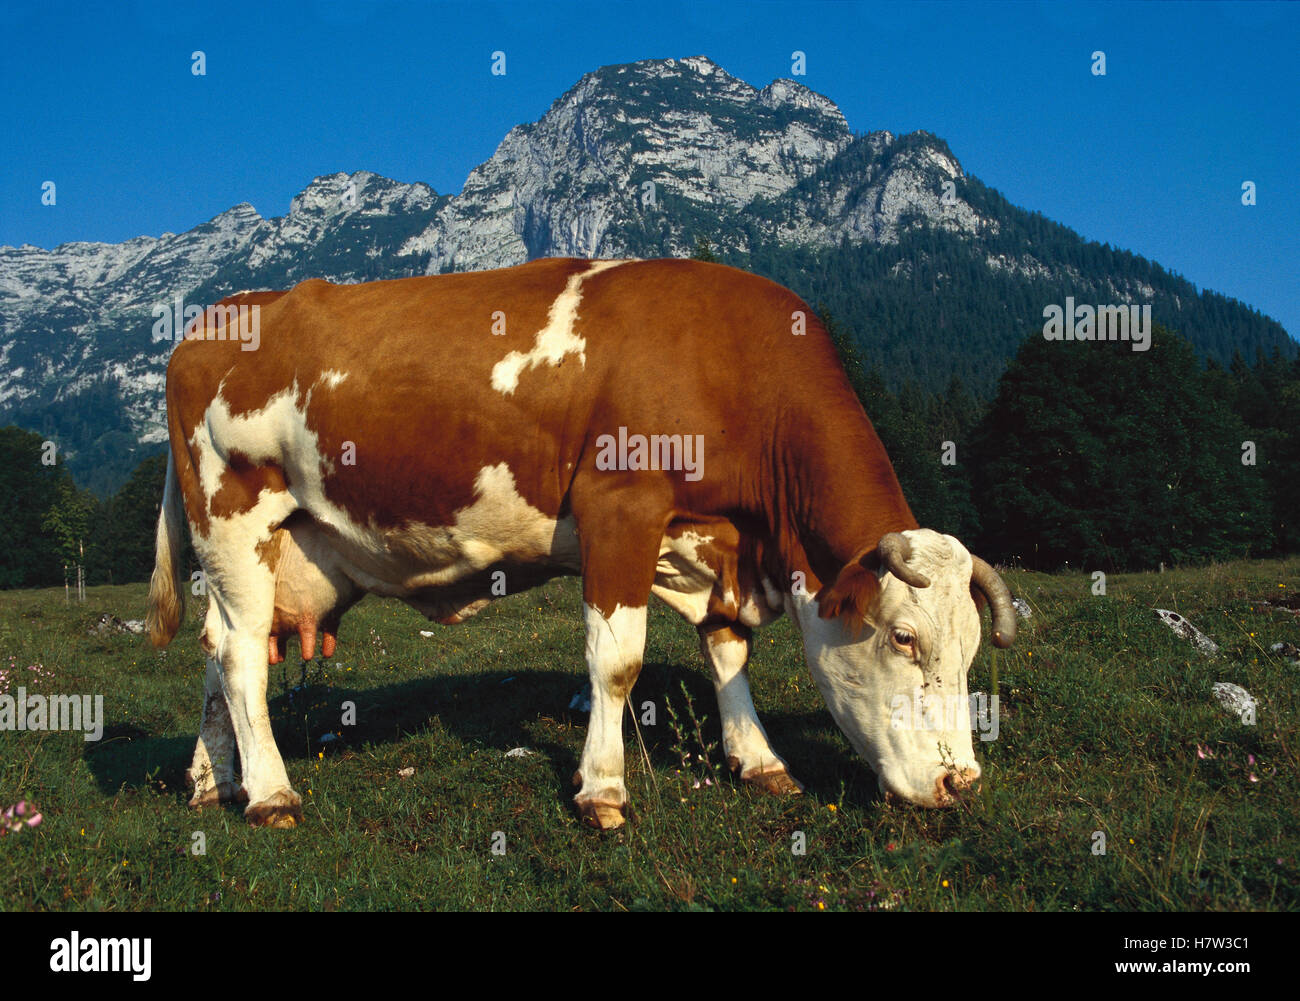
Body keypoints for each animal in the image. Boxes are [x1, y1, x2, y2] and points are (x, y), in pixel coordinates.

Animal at [147, 258, 1016, 830]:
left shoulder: (719, 541)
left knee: (218, 649)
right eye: (903, 637)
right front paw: (602, 789)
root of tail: (219, 316)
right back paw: (269, 793)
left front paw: (761, 759)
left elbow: (728, 651)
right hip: (231, 515)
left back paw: (210, 778)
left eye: (973, 647)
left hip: (271, 546)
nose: (962, 783)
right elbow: (617, 662)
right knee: (240, 657)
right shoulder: (620, 509)